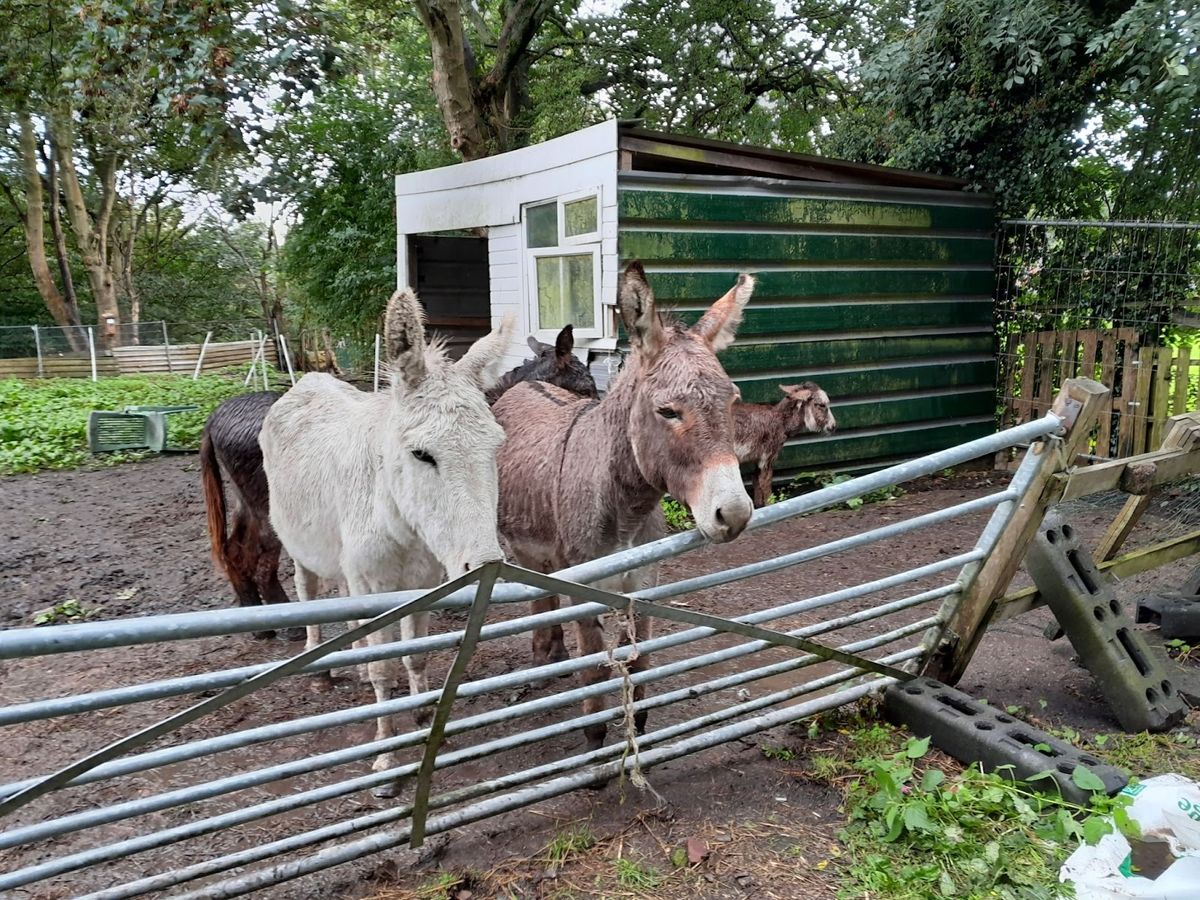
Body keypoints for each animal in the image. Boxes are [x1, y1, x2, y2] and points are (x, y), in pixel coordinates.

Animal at [200, 324, 598, 636]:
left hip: (246, 503)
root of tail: (216, 413)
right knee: (262, 558)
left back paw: (256, 617)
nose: (594, 407)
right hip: (269, 508)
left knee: (235, 550)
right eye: (586, 387)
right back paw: (284, 623)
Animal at [259, 288, 512, 784]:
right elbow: (383, 669)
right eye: (421, 454)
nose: (486, 567)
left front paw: (425, 719)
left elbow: (415, 656)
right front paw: (386, 756)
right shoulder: (374, 584)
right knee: (307, 589)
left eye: (496, 445)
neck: (403, 525)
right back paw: (320, 664)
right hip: (297, 543)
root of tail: (306, 381)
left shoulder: (424, 584)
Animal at [491, 261, 756, 750]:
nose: (735, 514)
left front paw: (640, 729)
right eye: (668, 412)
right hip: (521, 546)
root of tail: (528, 385)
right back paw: (543, 660)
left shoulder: (645, 583)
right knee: (540, 595)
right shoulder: (586, 587)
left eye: (733, 401)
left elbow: (641, 662)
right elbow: (595, 665)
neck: (627, 510)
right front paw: (595, 740)